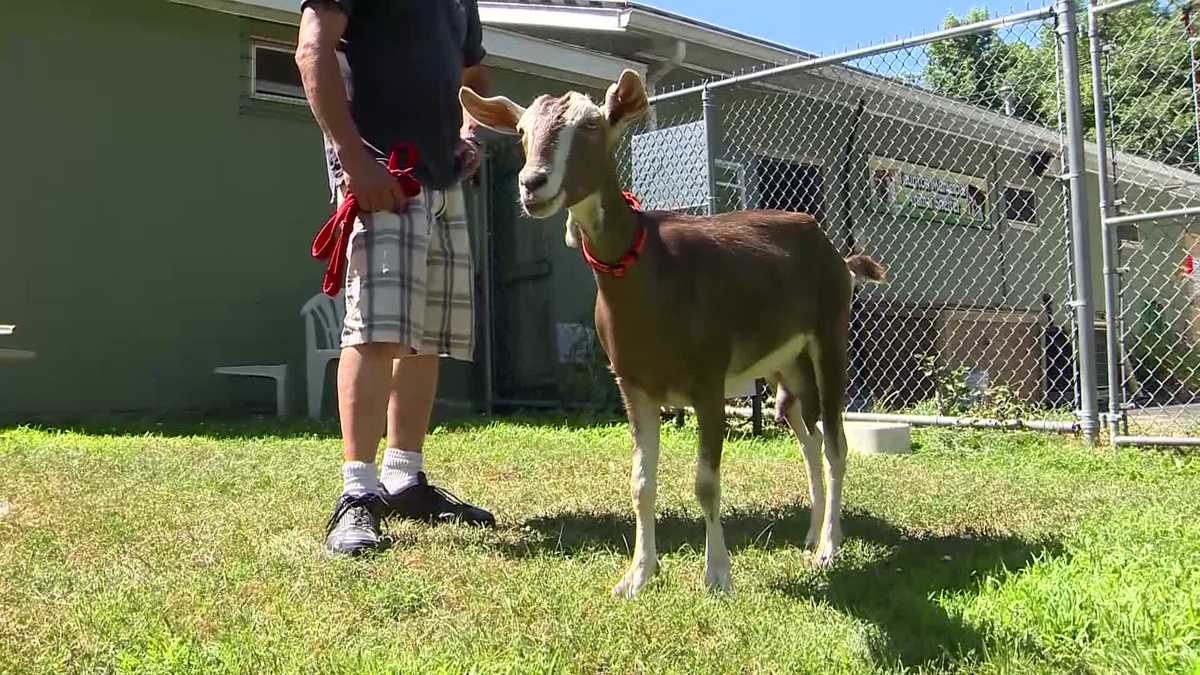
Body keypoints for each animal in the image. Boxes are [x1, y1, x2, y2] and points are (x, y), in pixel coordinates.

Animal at [461, 70, 886, 598]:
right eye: (521, 131)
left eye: (592, 125)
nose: (532, 184)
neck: (653, 271)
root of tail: (837, 254)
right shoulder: (633, 384)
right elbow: (641, 483)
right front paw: (638, 575)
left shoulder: (708, 381)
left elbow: (706, 482)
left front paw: (718, 575)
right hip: (786, 364)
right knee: (804, 433)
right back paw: (812, 533)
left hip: (829, 337)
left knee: (834, 442)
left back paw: (830, 547)